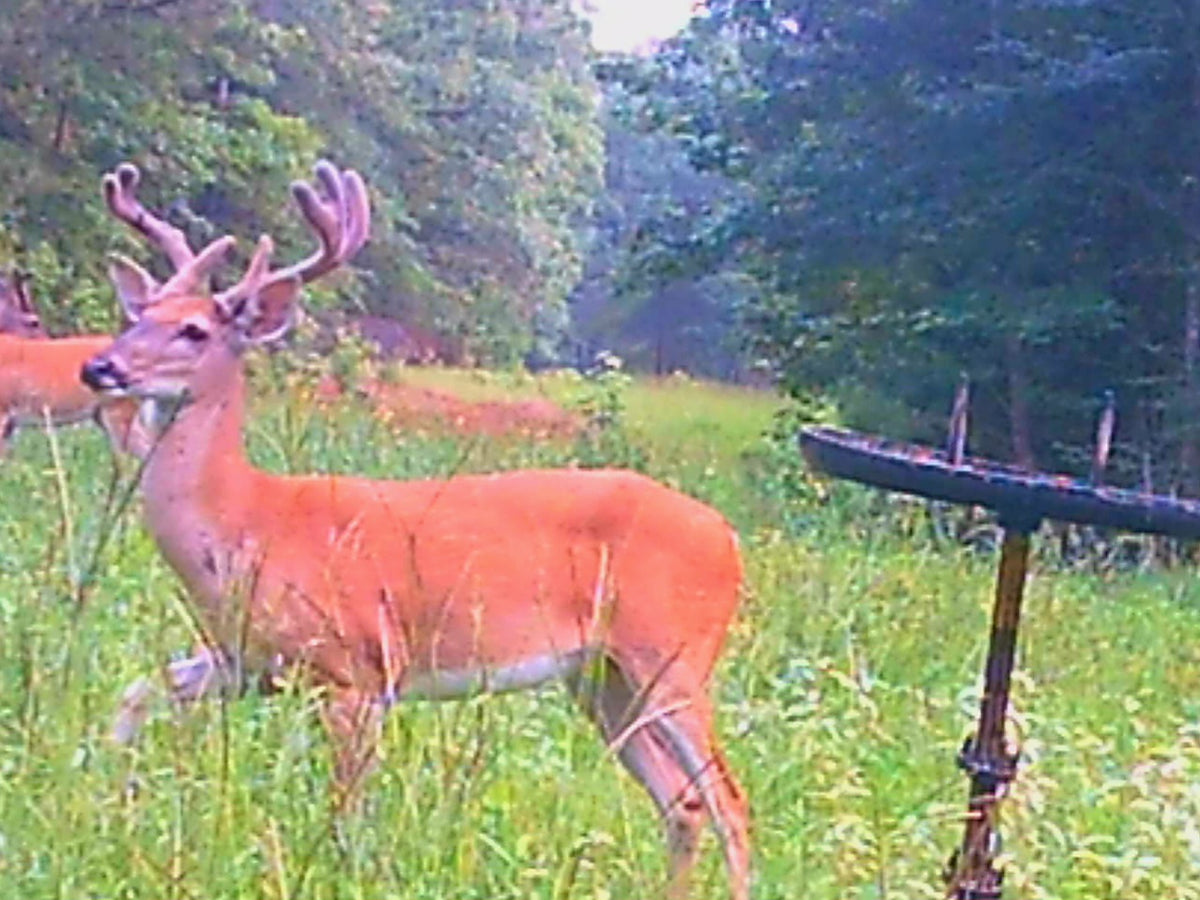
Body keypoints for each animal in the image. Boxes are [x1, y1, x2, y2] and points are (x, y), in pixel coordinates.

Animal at [80, 160, 751, 900]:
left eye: (195, 330)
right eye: (137, 315)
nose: (99, 367)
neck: (245, 523)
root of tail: (730, 539)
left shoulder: (358, 667)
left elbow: (346, 812)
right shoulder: (249, 660)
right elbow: (137, 693)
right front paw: (105, 799)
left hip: (673, 655)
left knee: (729, 800)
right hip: (602, 677)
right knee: (682, 801)